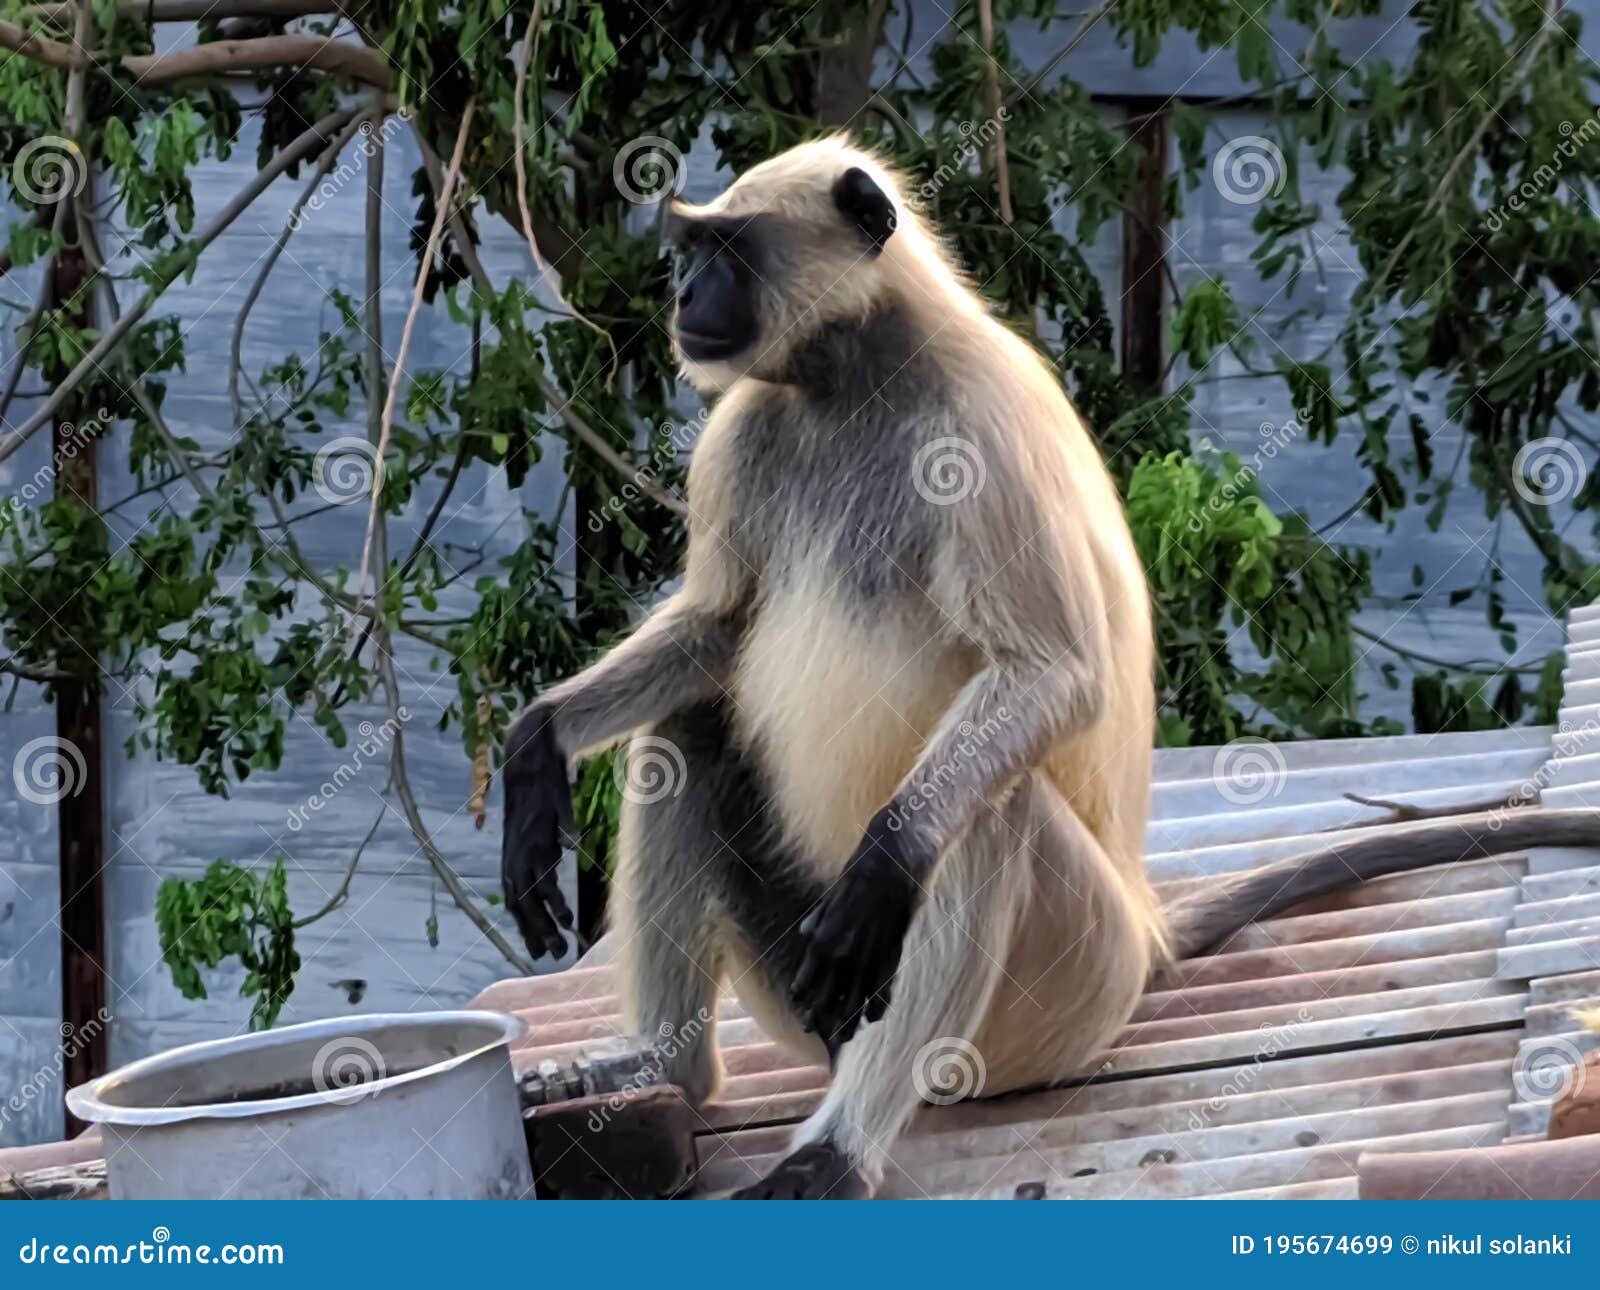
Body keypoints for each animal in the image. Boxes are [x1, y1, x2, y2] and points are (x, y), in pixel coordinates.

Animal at [500, 136, 1540, 1199]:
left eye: (731, 253)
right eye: (693, 252)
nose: (683, 296)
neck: (853, 373)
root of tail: (1146, 929)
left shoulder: (977, 422)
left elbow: (1051, 678)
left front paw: (888, 859)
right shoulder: (751, 420)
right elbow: (719, 627)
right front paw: (535, 750)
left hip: (1061, 996)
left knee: (979, 819)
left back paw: (835, 1147)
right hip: (805, 994)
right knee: (690, 725)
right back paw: (667, 1077)